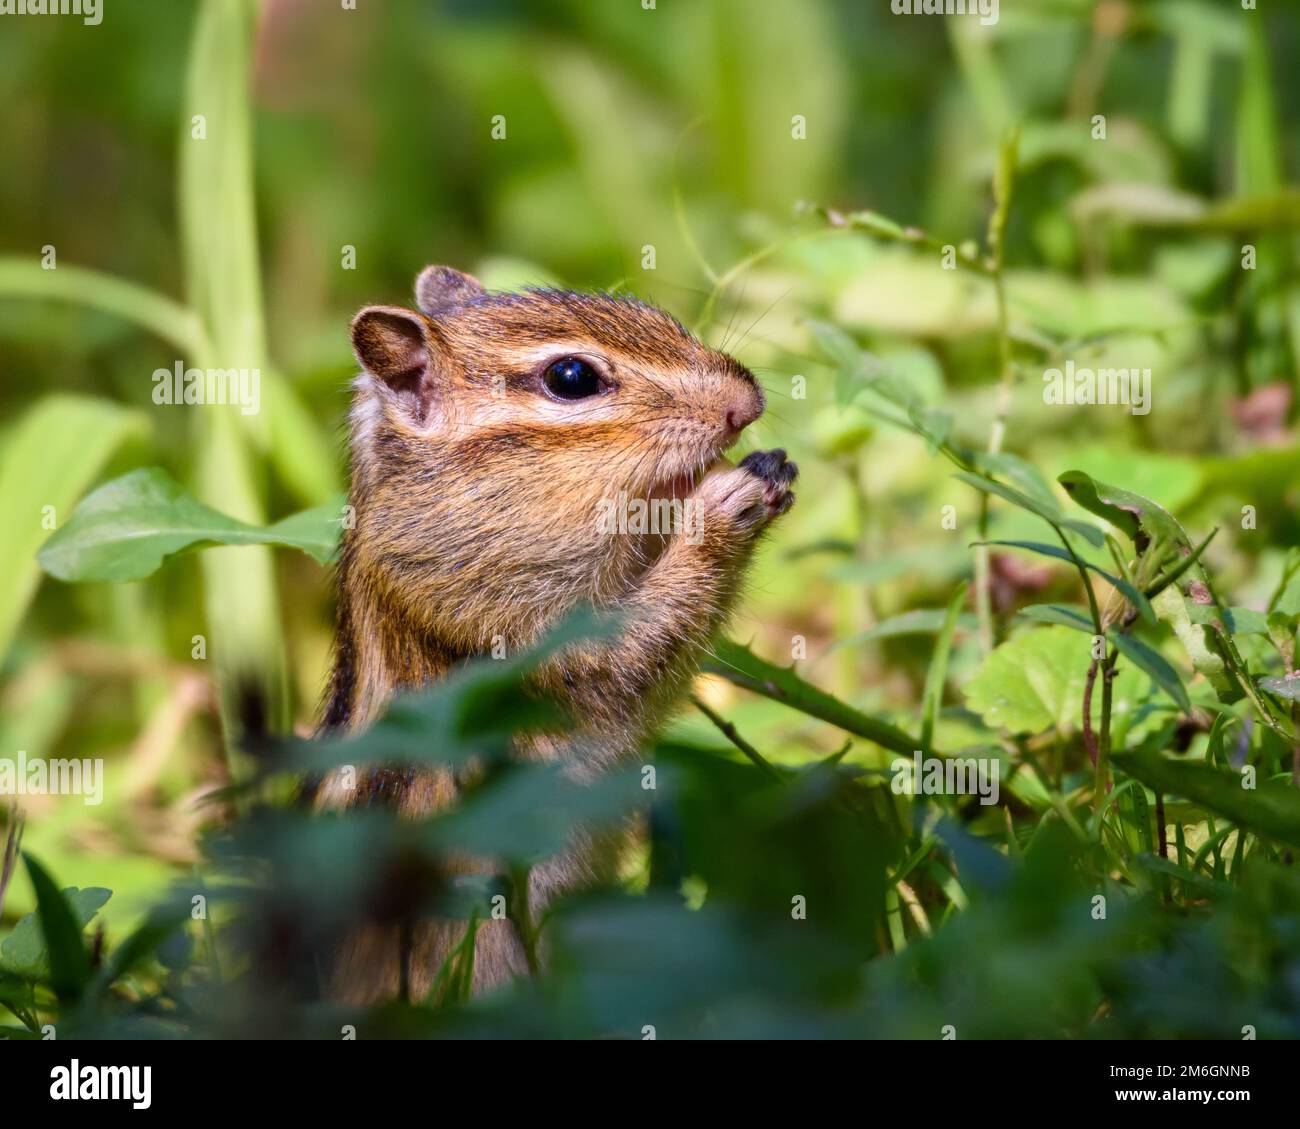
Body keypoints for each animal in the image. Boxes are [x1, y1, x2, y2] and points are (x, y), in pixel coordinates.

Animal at [313, 265, 796, 1002]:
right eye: (571, 378)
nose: (747, 403)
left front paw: (766, 468)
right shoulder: (512, 630)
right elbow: (631, 654)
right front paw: (720, 506)